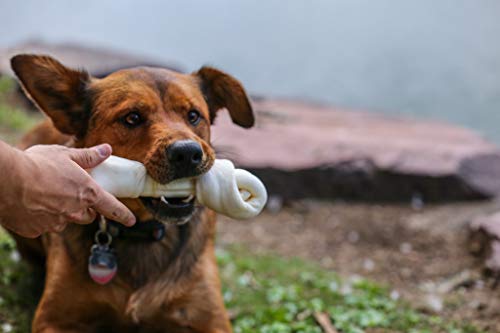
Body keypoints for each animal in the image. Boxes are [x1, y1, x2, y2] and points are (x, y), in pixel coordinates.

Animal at [11, 53, 254, 330]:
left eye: (193, 115)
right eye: (132, 118)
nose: (187, 153)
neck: (142, 233)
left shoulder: (211, 321)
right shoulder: (54, 320)